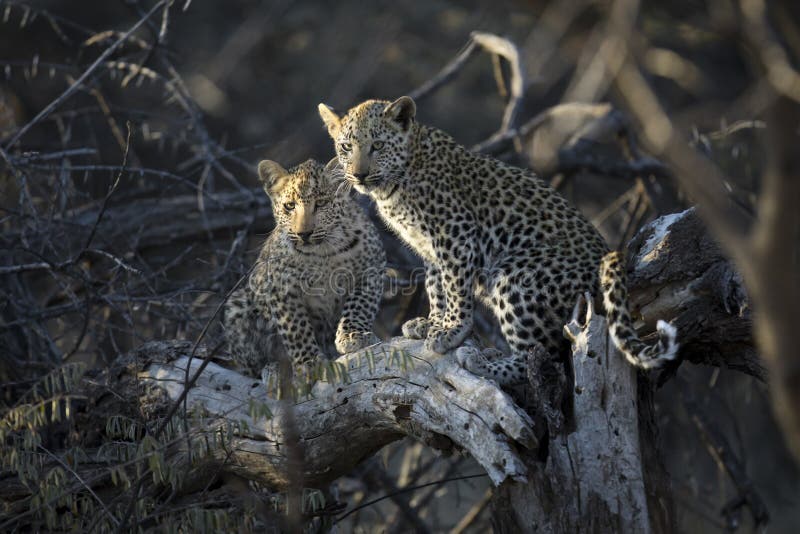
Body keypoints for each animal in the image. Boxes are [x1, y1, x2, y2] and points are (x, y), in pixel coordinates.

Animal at [224, 158, 385, 377]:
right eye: (289, 206)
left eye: (321, 203)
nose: (304, 234)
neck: (323, 253)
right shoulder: (281, 287)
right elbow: (296, 327)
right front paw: (308, 363)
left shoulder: (372, 267)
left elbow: (360, 303)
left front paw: (353, 335)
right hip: (237, 306)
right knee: (252, 366)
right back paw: (272, 369)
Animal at [317, 96, 677, 386]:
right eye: (346, 148)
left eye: (377, 145)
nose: (359, 174)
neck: (393, 185)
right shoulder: (430, 248)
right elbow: (436, 285)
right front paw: (431, 323)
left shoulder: (455, 234)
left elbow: (455, 287)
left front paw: (451, 330)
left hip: (516, 277)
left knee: (545, 359)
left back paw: (483, 363)